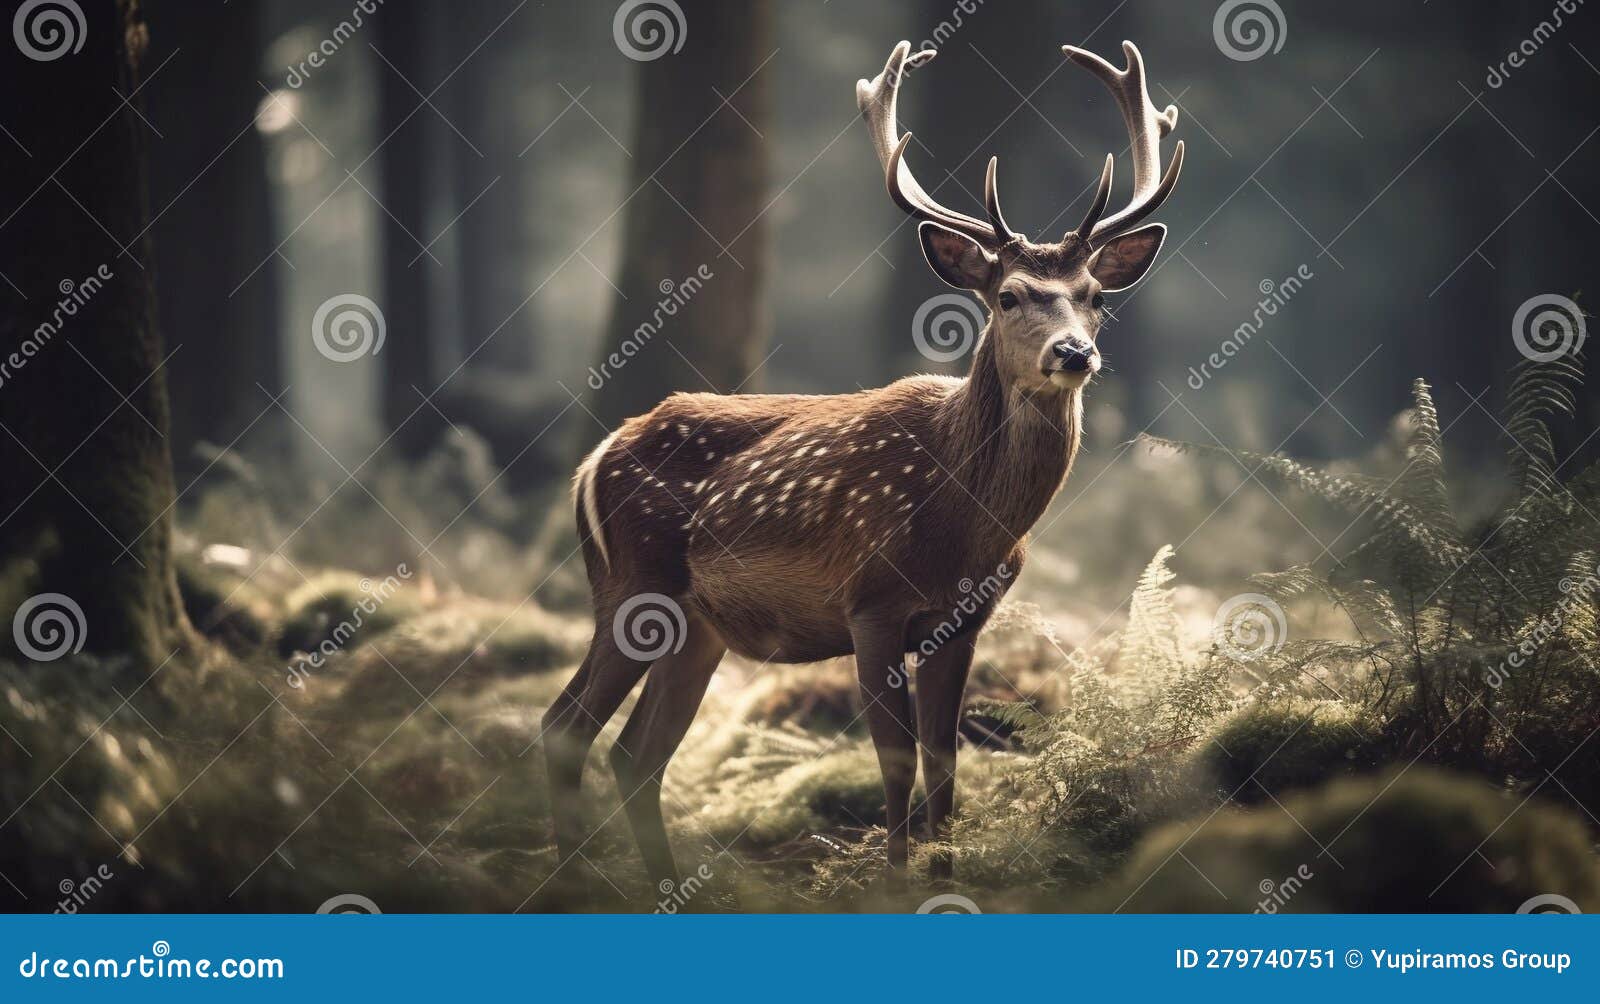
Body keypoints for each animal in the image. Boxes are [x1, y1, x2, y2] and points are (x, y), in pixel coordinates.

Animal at [543, 37, 1184, 896]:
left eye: (1095, 296)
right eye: (1010, 296)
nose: (1074, 352)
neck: (963, 526)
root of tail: (593, 459)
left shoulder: (964, 620)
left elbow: (946, 765)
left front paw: (946, 883)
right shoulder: (869, 602)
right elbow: (895, 759)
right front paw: (893, 883)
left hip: (697, 627)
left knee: (635, 753)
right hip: (629, 583)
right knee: (566, 724)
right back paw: (564, 882)